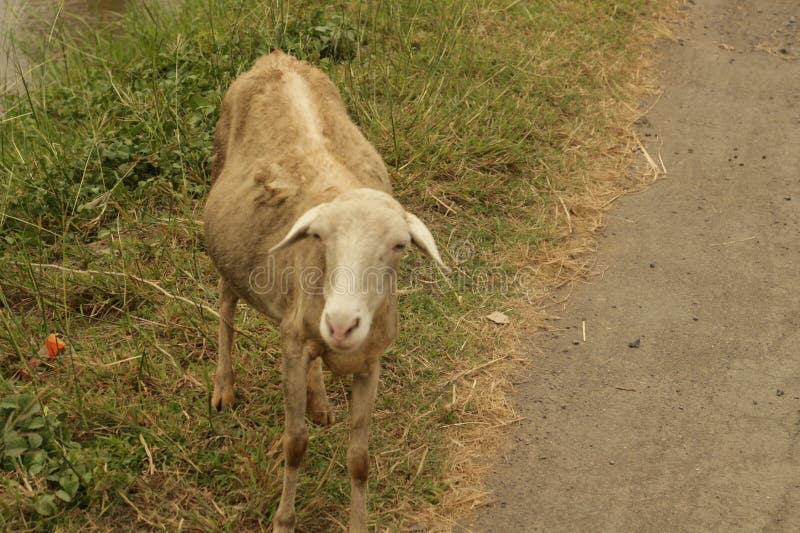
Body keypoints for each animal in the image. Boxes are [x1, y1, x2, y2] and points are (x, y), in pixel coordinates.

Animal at [203, 50, 448, 532]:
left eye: (399, 245)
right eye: (321, 238)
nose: (340, 323)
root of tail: (277, 58)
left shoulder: (370, 362)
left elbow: (360, 459)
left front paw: (358, 522)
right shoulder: (294, 347)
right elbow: (295, 444)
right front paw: (283, 520)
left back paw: (318, 400)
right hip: (225, 227)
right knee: (226, 303)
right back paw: (225, 386)